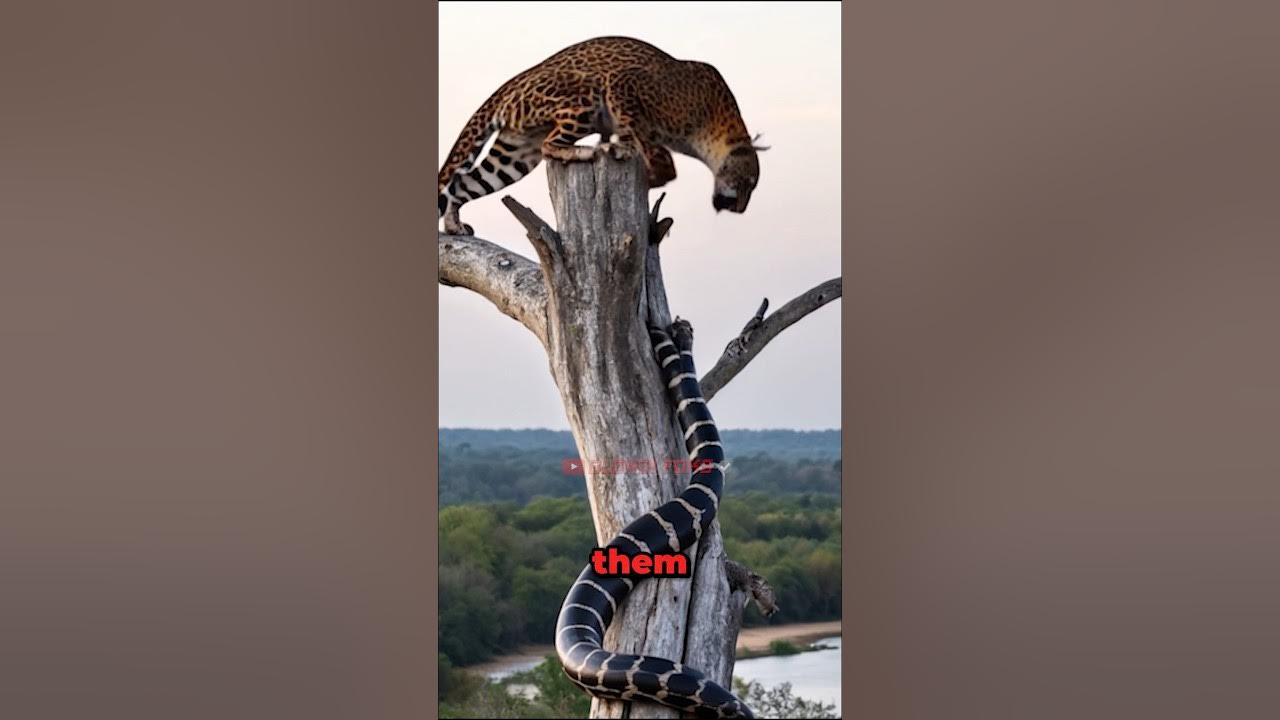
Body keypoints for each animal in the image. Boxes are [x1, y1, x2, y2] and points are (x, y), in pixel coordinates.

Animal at [438, 36, 767, 236]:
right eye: (746, 183)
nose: (740, 210)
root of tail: (516, 79)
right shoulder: (624, 84)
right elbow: (655, 148)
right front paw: (652, 174)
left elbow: (632, 140)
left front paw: (625, 154)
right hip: (583, 96)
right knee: (549, 145)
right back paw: (581, 151)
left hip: (513, 156)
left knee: (464, 182)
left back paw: (454, 225)